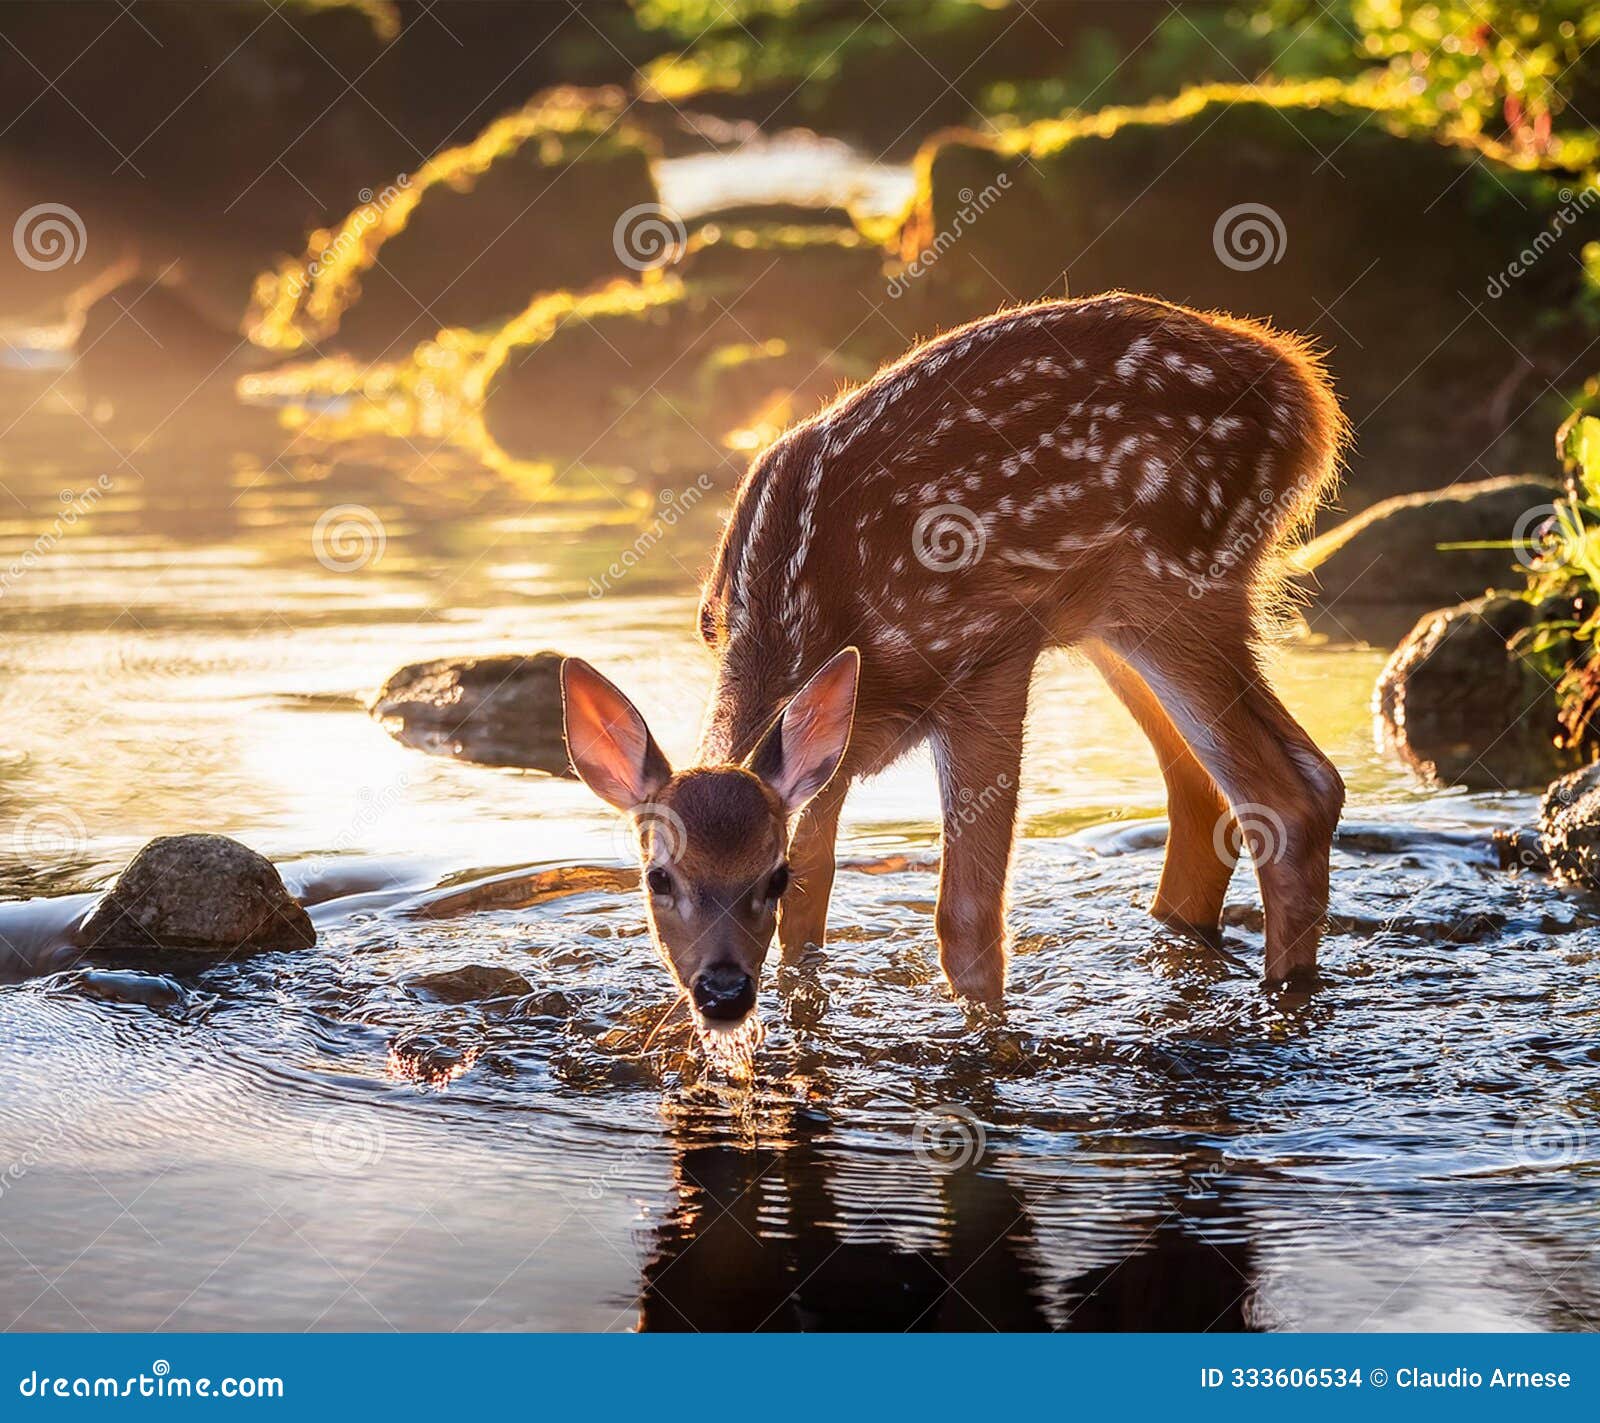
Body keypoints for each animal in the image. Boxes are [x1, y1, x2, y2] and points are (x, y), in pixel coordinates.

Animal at [561, 293, 1348, 1034]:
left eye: (766, 876)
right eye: (657, 877)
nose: (723, 992)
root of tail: (1302, 386)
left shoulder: (990, 653)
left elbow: (965, 918)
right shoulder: (836, 742)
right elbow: (813, 903)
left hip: (1178, 579)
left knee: (1289, 797)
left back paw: (1284, 999)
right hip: (1117, 621)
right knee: (1217, 792)